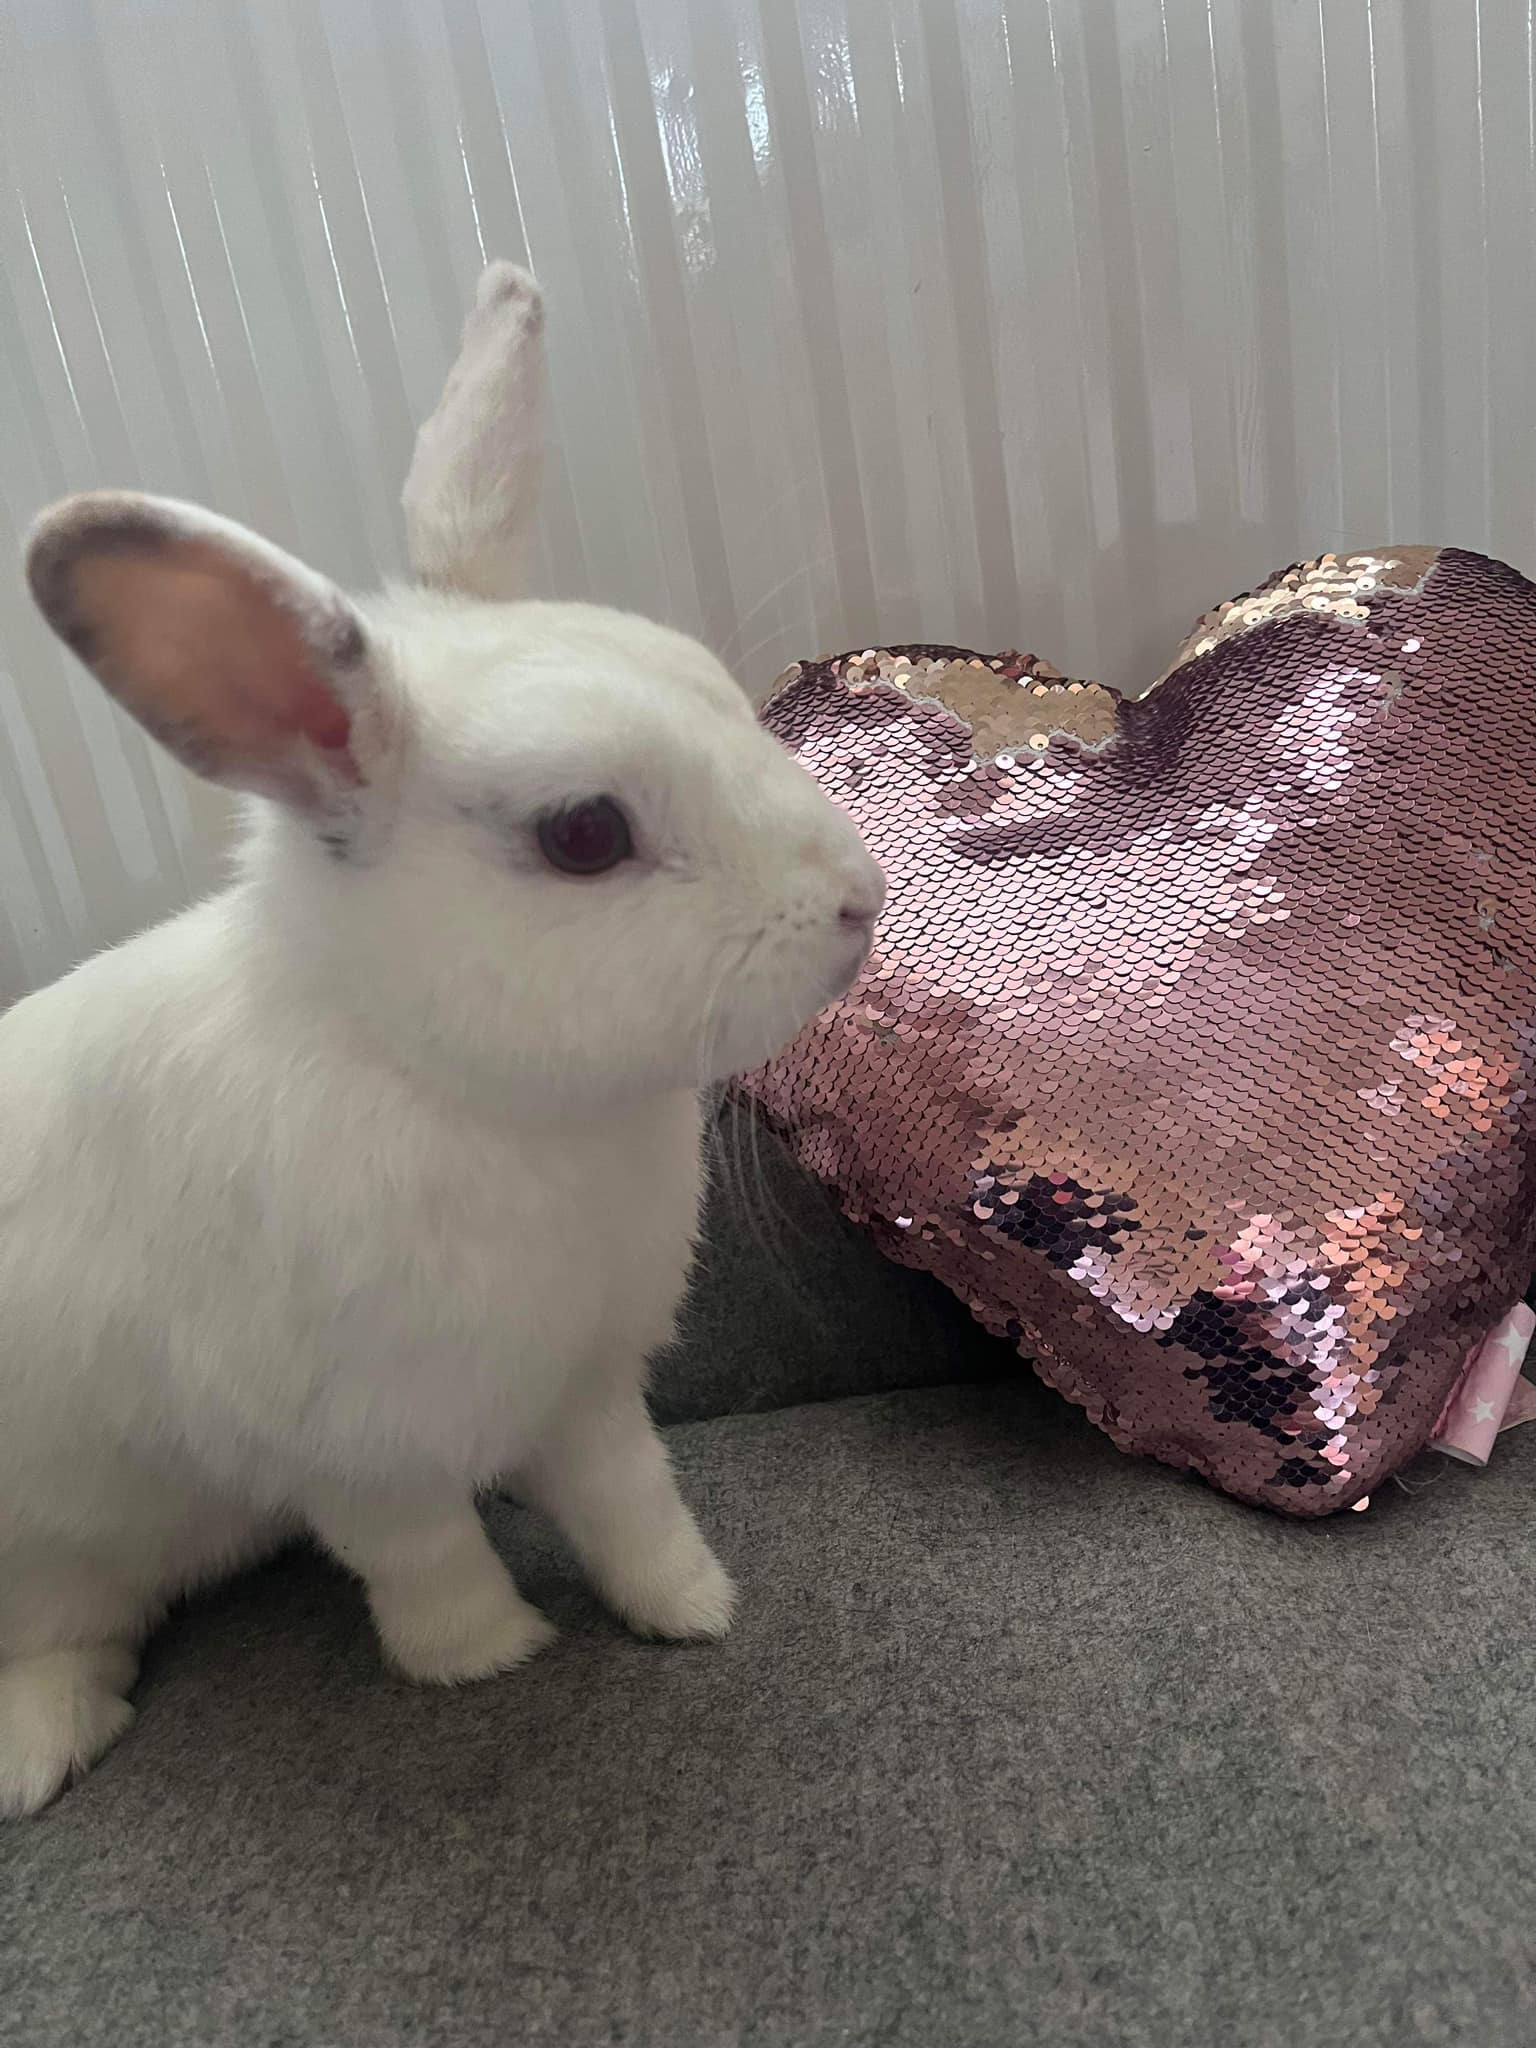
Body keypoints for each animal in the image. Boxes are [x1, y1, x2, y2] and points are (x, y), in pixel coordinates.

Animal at [0, 262, 884, 1818]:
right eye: (585, 834)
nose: (862, 900)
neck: (450, 1082)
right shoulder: (352, 1438)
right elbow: (419, 1552)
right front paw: (485, 1657)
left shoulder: (588, 1382)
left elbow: (629, 1495)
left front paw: (691, 1606)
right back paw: (39, 1753)